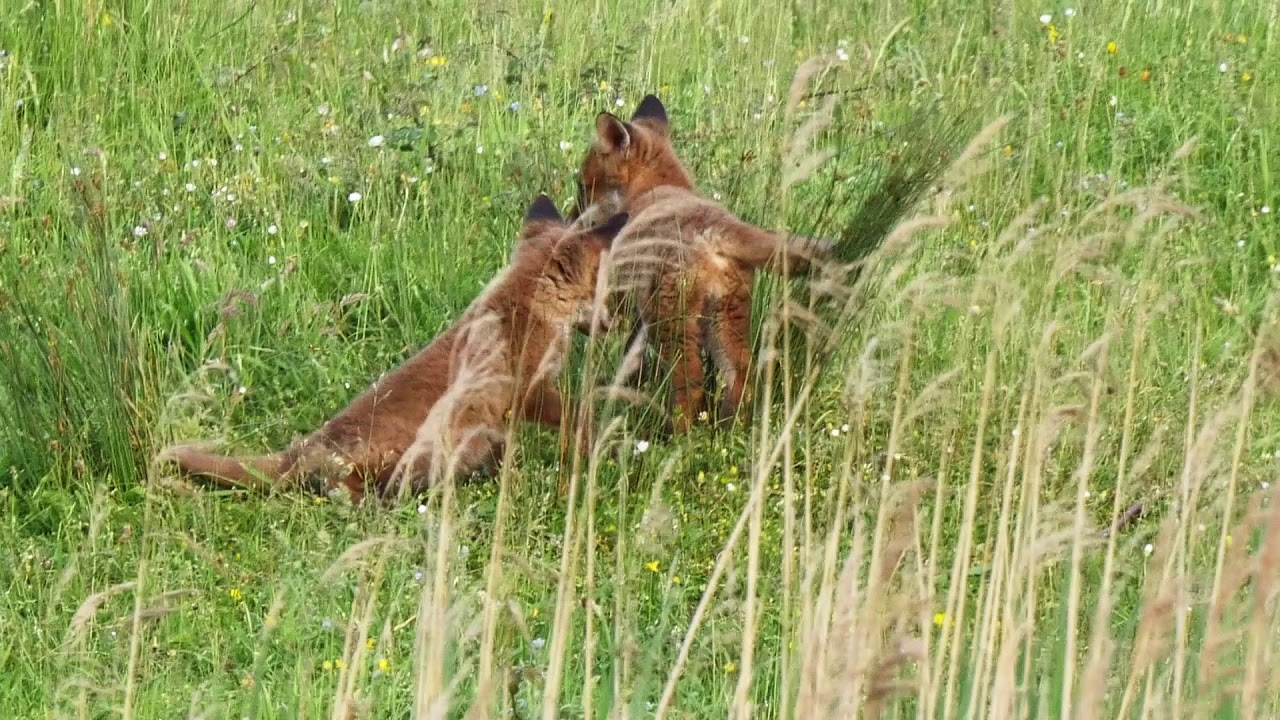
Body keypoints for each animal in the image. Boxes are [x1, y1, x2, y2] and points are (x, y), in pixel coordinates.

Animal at [157, 195, 628, 505]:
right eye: (605, 288)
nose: (613, 324)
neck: (527, 305)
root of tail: (305, 447)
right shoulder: (531, 391)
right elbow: (576, 416)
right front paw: (594, 444)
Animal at [570, 94, 834, 433]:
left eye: (583, 185)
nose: (571, 222)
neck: (655, 188)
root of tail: (717, 228)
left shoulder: (627, 303)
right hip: (726, 319)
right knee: (741, 374)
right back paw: (730, 429)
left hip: (672, 322)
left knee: (689, 382)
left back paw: (676, 434)